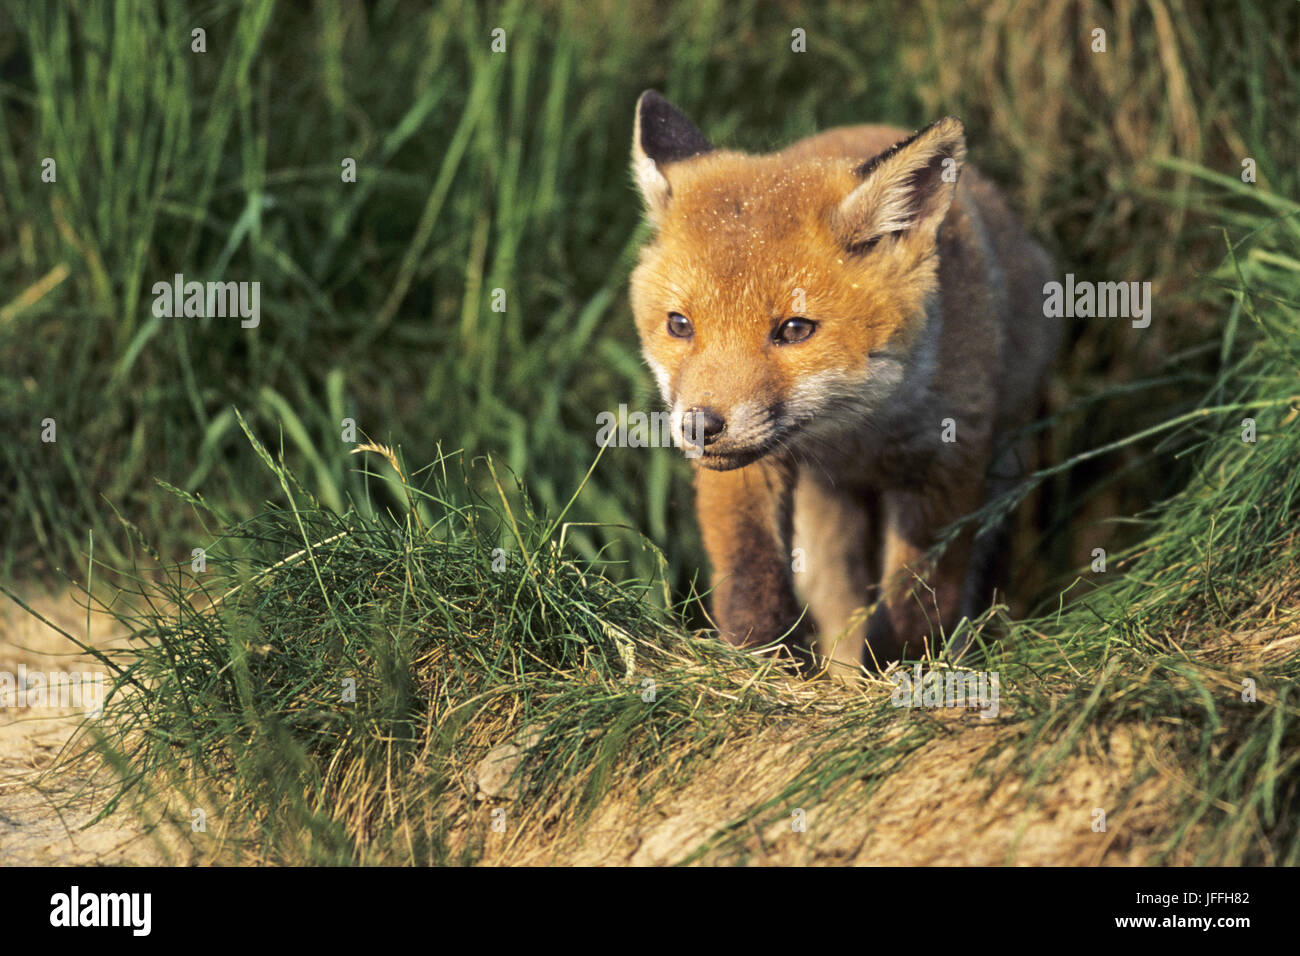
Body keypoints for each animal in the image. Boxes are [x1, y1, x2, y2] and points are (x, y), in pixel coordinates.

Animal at [628, 91, 1060, 677]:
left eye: (794, 330)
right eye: (680, 325)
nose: (700, 427)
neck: (854, 432)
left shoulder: (947, 460)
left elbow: (920, 597)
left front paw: (903, 666)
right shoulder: (748, 473)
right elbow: (748, 575)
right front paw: (757, 659)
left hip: (1004, 465)